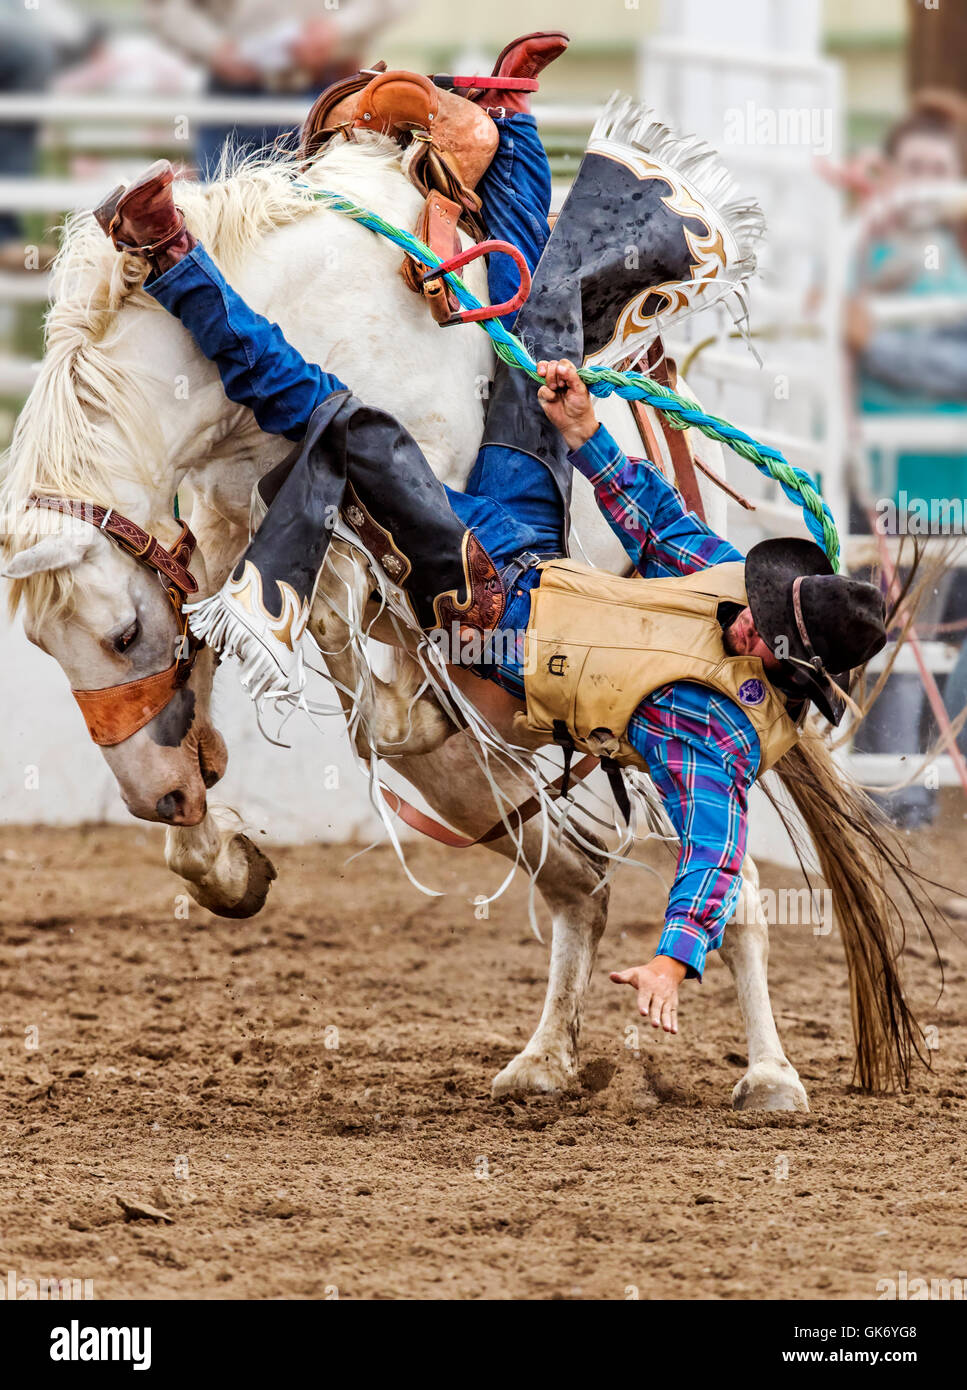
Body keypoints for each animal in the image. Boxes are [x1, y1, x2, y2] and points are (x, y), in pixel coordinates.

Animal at [0, 134, 812, 1112]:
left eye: (120, 635)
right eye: (44, 648)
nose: (153, 798)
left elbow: (350, 629)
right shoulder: (223, 527)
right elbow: (214, 661)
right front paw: (223, 859)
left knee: (730, 876)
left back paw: (769, 1072)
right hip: (481, 781)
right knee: (578, 883)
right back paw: (546, 1057)